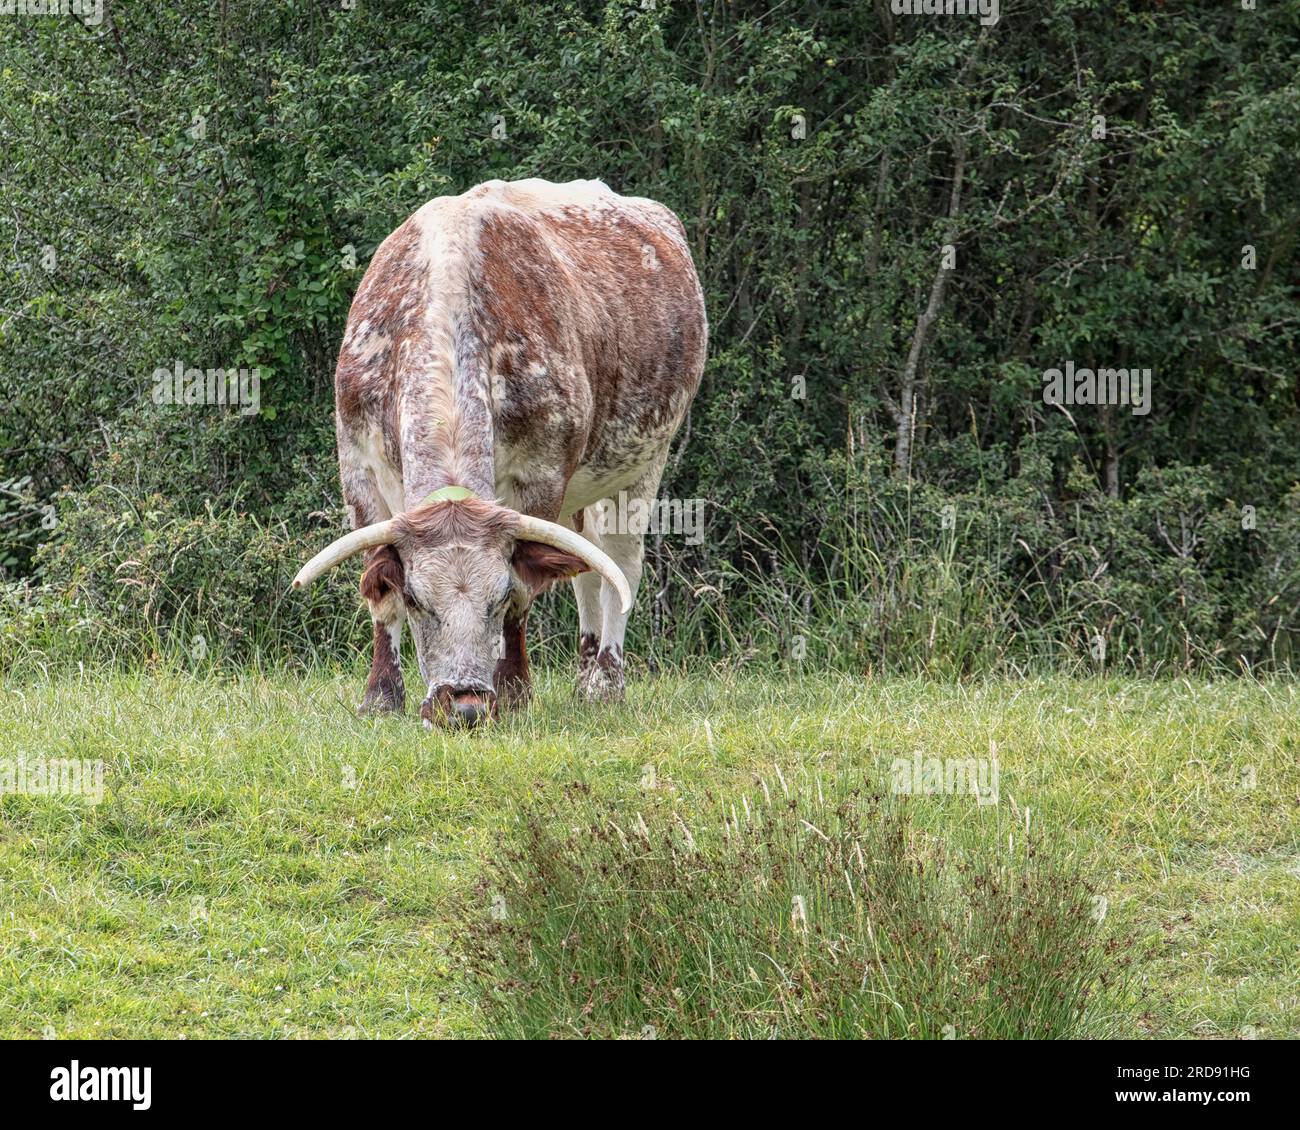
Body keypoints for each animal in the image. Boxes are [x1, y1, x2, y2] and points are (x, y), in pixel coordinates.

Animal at [293, 178, 707, 728]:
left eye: (497, 598)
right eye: (416, 599)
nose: (463, 703)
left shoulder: (541, 478)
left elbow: (527, 592)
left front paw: (513, 692)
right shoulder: (358, 469)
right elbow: (378, 593)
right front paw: (380, 697)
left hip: (642, 464)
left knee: (619, 564)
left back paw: (605, 683)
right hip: (579, 496)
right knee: (586, 572)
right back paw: (582, 681)